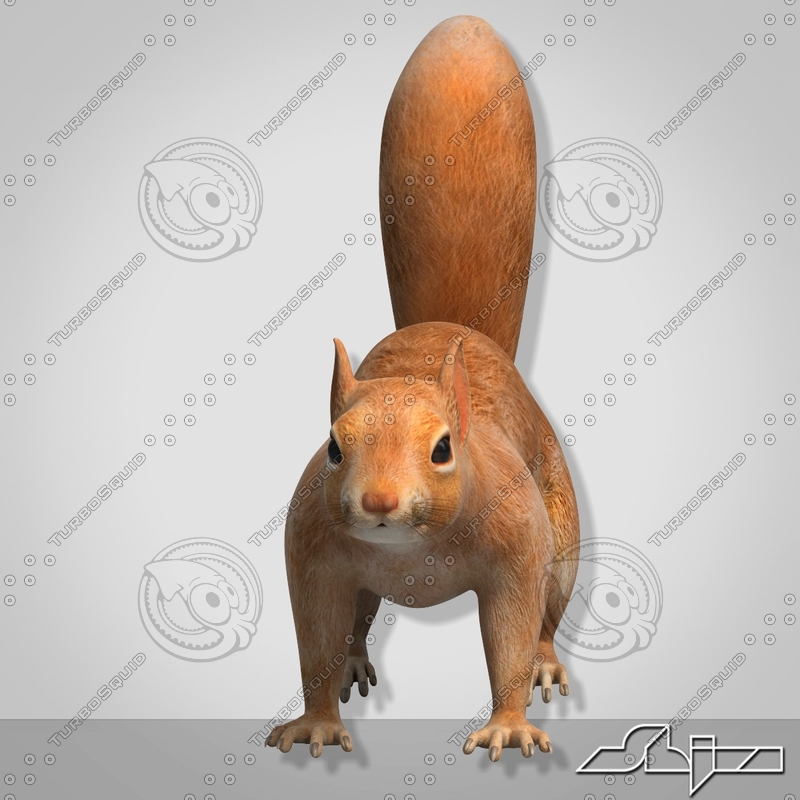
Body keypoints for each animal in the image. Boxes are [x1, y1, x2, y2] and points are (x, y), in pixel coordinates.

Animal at [267, 15, 579, 761]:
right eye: (332, 447)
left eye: (443, 449)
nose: (378, 501)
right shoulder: (312, 547)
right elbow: (313, 636)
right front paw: (317, 721)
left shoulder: (518, 538)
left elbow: (511, 629)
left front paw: (509, 725)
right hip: (362, 585)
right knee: (354, 622)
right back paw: (355, 662)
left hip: (560, 525)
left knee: (548, 612)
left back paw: (549, 661)